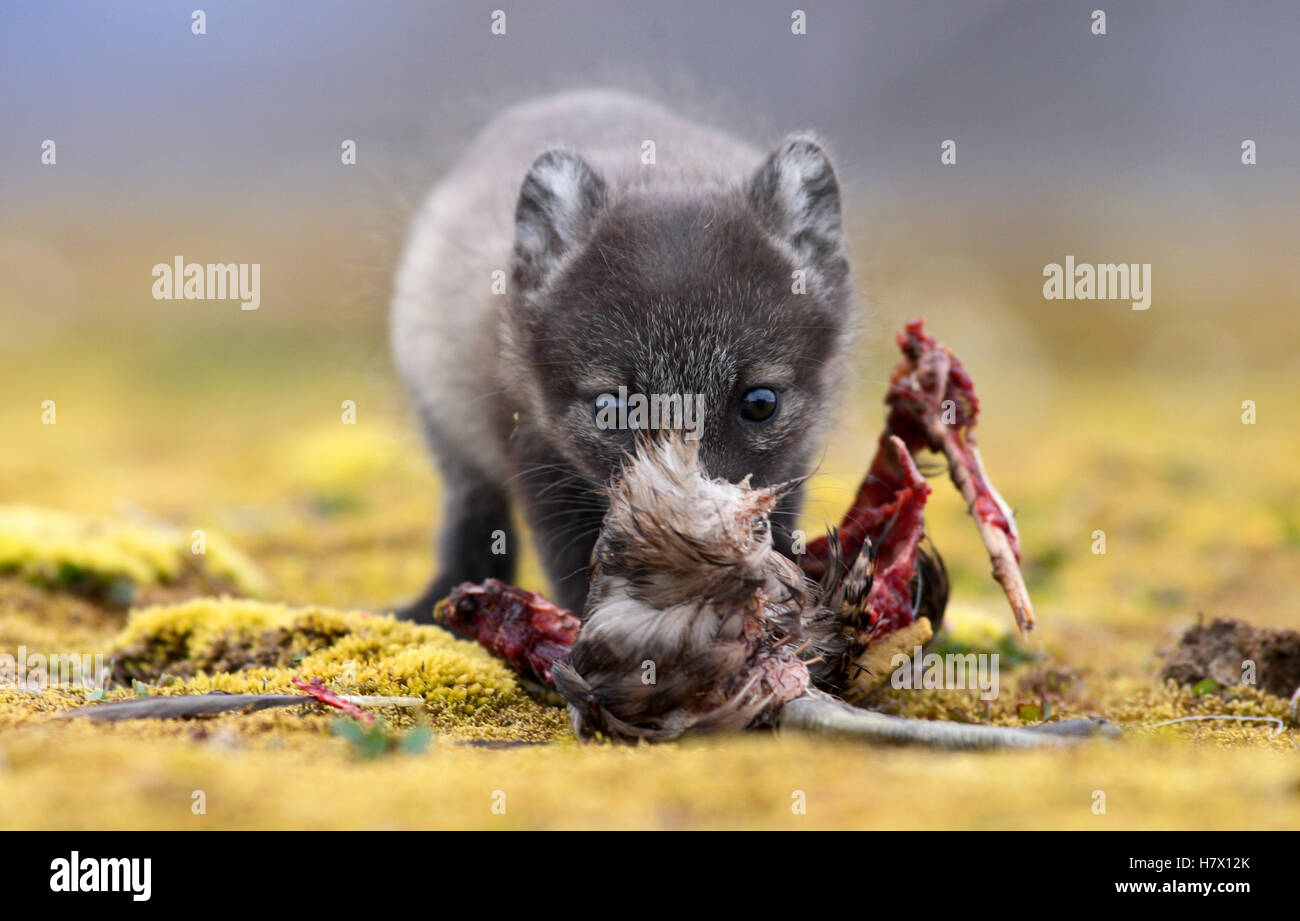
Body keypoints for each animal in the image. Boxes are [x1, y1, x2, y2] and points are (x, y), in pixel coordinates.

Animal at [390, 89, 856, 622]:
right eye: (611, 407)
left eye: (760, 403)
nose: (697, 542)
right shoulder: (537, 453)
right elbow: (574, 565)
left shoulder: (792, 461)